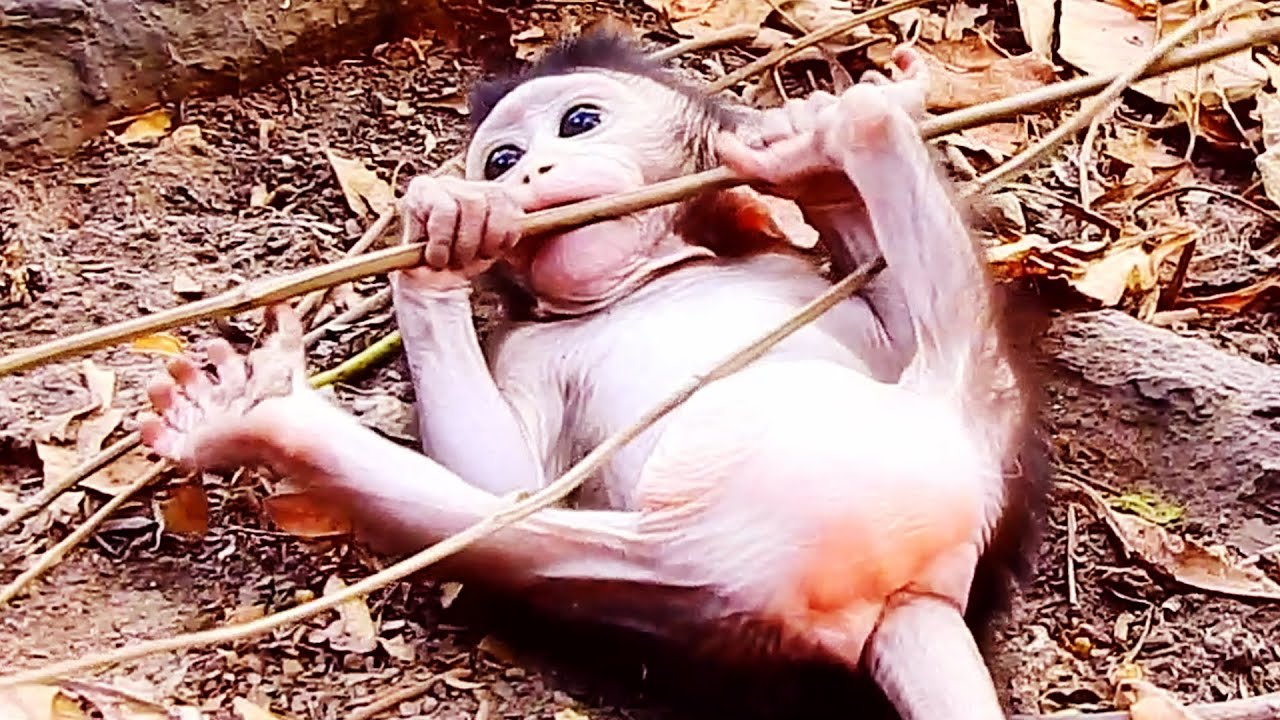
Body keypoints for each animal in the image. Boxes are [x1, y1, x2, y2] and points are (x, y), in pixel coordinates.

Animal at [139, 28, 1047, 720]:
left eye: (579, 121)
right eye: (500, 159)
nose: (527, 174)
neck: (648, 279)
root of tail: (906, 592)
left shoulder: (789, 276)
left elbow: (880, 328)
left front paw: (813, 167)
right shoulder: (528, 352)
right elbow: (506, 473)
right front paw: (444, 240)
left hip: (975, 424)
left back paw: (860, 133)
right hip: (689, 583)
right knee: (502, 532)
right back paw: (259, 416)